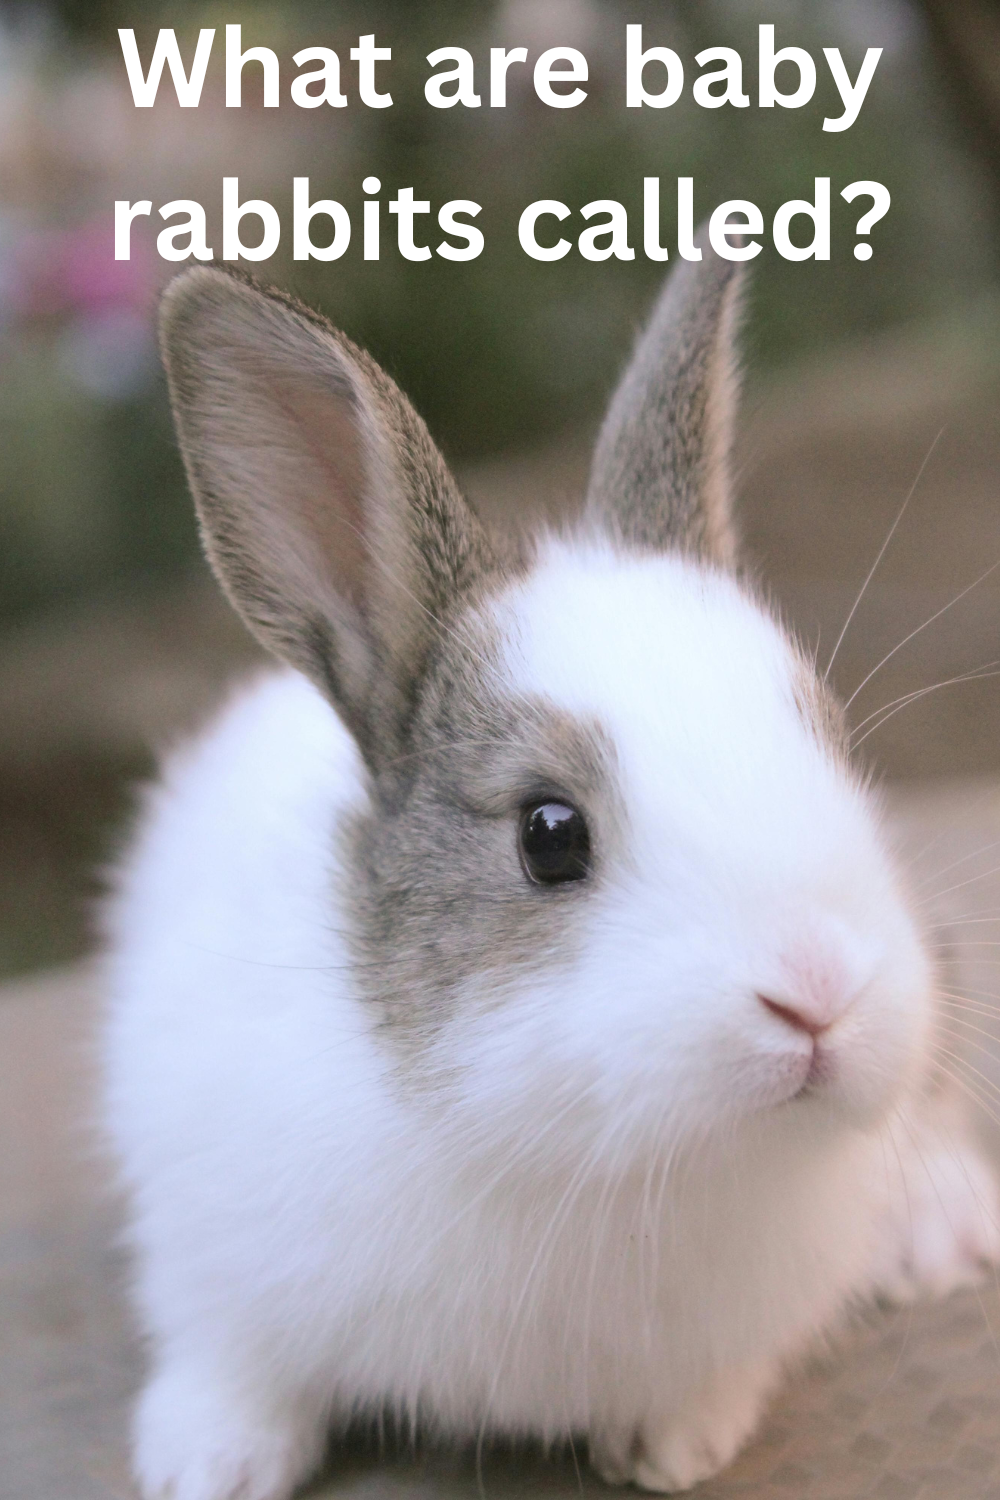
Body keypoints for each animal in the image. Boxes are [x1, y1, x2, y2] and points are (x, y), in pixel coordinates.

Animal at [103, 248, 1000, 1500]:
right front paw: (206, 1464)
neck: (570, 1151)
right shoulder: (205, 1243)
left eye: (828, 743)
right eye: (548, 833)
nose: (819, 996)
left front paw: (674, 1444)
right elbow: (232, 1358)